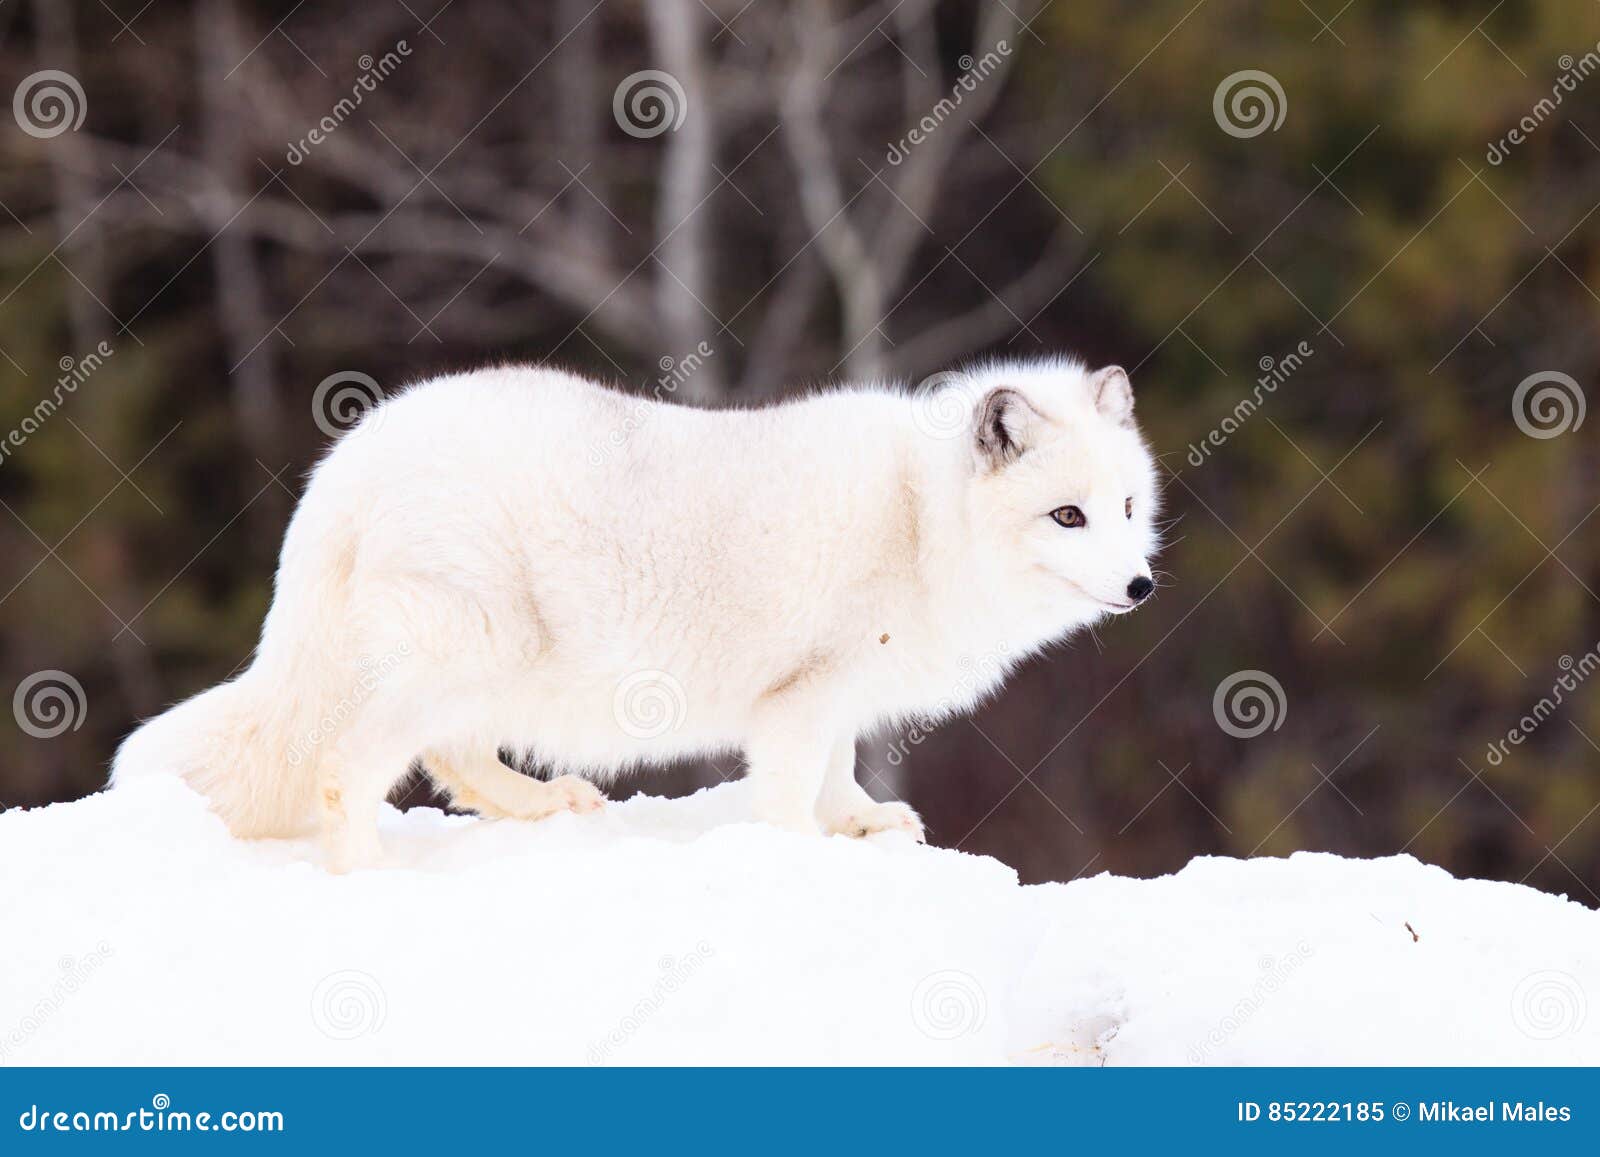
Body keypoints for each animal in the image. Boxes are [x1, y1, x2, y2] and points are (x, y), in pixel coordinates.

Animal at [111, 357, 1160, 871]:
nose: (1142, 585)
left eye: (1126, 507)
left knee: (451, 756)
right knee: (349, 768)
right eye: (1066, 515)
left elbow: (839, 776)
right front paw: (800, 855)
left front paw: (860, 828)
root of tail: (347, 462)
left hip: (487, 666)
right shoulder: (802, 697)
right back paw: (368, 873)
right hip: (473, 647)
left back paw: (542, 805)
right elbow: (792, 791)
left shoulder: (837, 700)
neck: (920, 513)